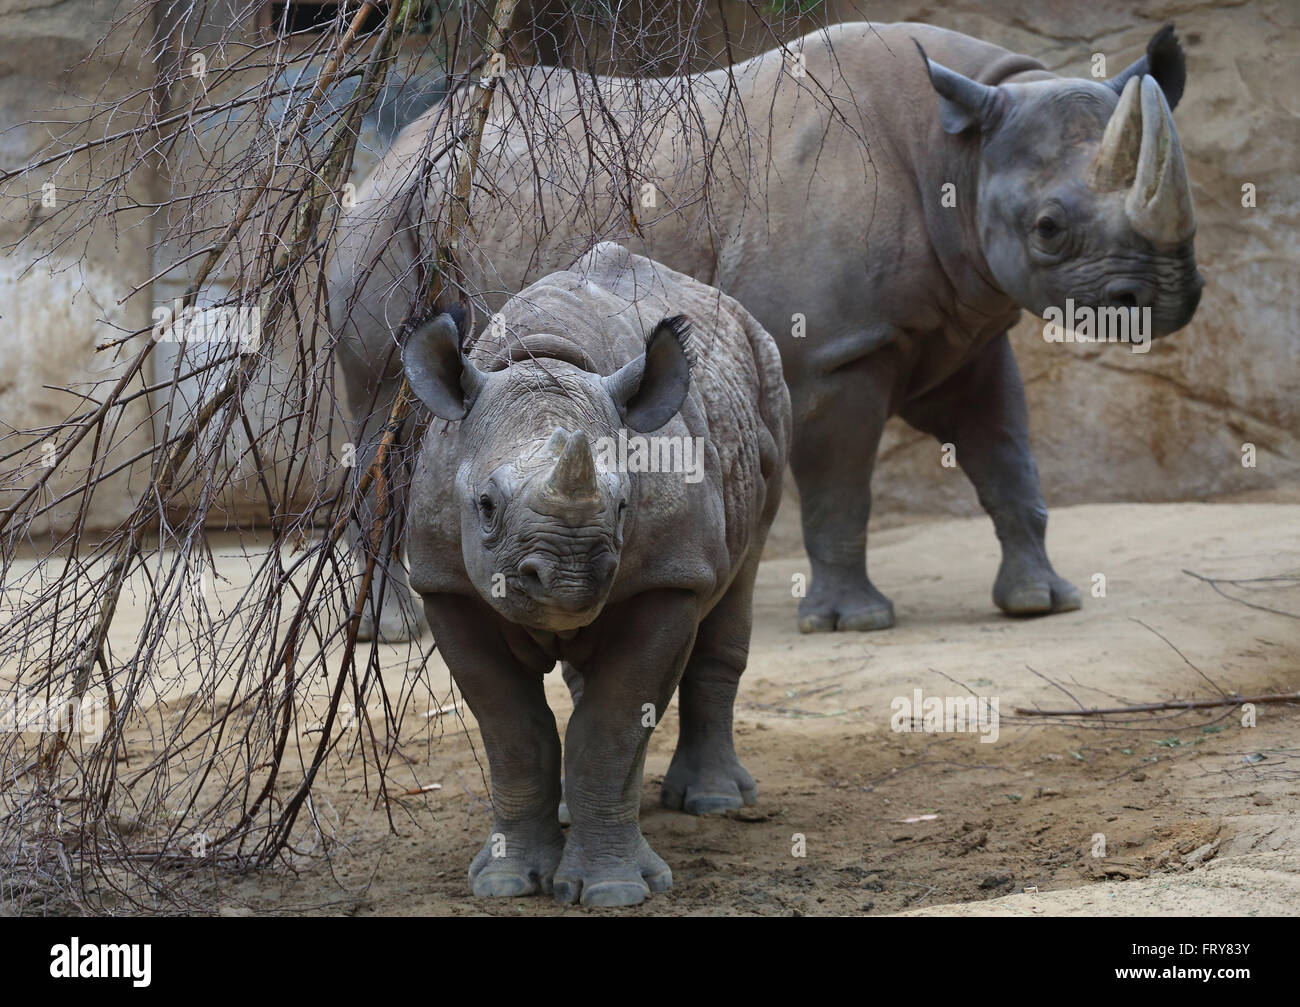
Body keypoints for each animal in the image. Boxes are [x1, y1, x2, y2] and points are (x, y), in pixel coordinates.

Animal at [328, 21, 1202, 639]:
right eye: (1049, 228)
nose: (1162, 300)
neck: (962, 147)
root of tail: (402, 141)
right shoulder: (838, 352)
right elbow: (842, 484)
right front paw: (855, 622)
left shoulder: (969, 328)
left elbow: (1006, 455)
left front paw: (1040, 602)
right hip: (390, 223)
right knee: (386, 410)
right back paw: (395, 633)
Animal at [400, 244, 789, 905]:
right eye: (485, 505)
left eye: (625, 506)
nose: (570, 578)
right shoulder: (445, 584)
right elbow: (513, 731)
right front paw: (506, 881)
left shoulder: (669, 578)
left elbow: (611, 727)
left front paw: (614, 890)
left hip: (768, 378)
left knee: (741, 574)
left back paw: (715, 802)